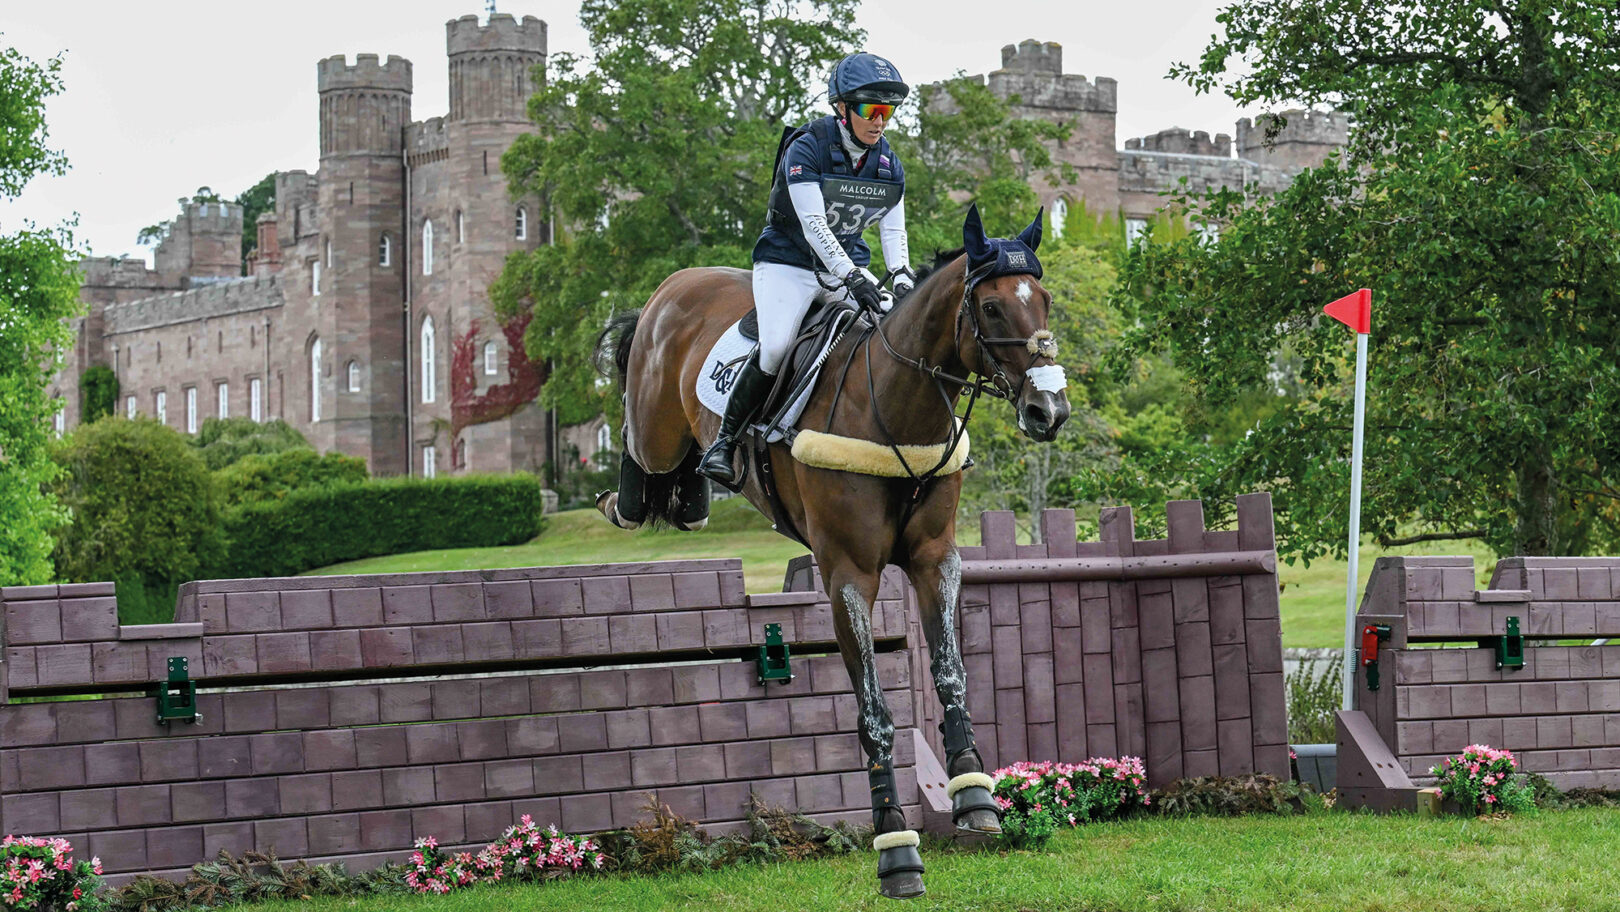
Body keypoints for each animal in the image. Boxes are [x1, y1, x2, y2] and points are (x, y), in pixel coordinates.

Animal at [594, 206, 1070, 898]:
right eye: (991, 307)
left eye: (1045, 300)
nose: (1049, 410)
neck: (894, 405)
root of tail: (677, 281)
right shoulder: (850, 577)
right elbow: (873, 712)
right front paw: (896, 849)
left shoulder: (934, 560)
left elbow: (950, 673)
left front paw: (974, 794)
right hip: (654, 424)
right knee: (639, 452)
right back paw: (627, 498)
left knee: (680, 493)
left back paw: (697, 491)